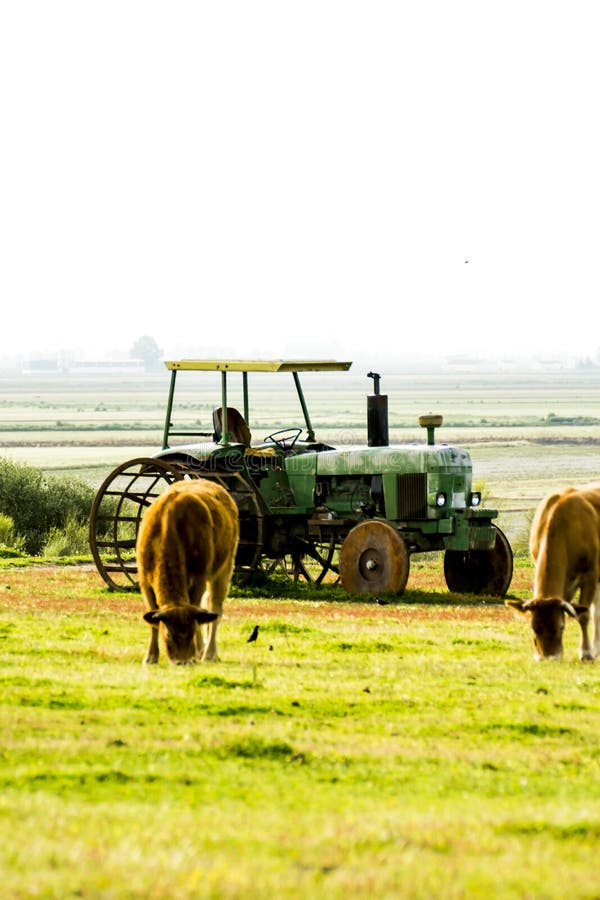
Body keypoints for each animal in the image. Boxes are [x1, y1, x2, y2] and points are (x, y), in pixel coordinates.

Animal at [136, 478, 239, 665]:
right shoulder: (145, 581)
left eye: (191, 632)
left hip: (224, 568)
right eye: (169, 634)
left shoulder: (199, 578)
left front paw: (197, 651)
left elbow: (197, 609)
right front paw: (151, 656)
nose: (182, 662)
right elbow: (152, 619)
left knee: (215, 608)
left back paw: (208, 653)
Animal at [506, 483, 600, 660]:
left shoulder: (590, 575)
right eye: (534, 627)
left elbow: (584, 615)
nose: (548, 658)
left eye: (560, 627)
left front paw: (585, 652)